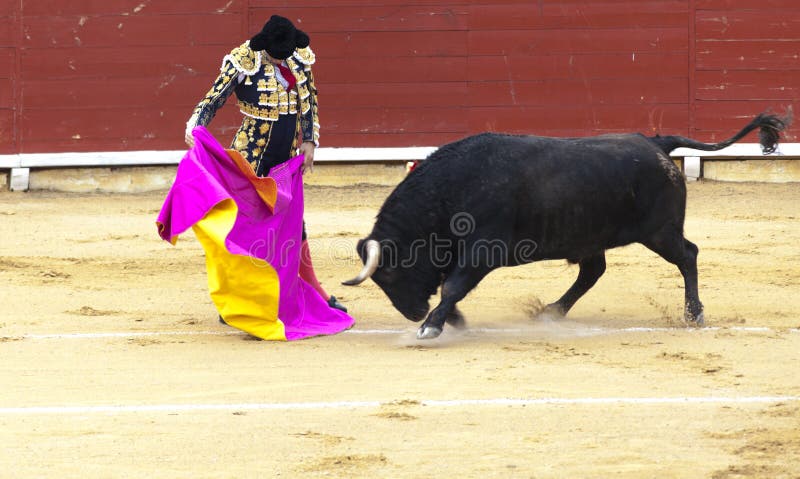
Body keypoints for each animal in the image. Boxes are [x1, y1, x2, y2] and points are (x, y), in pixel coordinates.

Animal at [343, 113, 789, 339]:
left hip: (660, 232)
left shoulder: (484, 249)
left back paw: (693, 315)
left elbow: (452, 285)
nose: (412, 311)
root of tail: (655, 142)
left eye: (392, 274)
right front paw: (448, 319)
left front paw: (432, 325)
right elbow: (451, 288)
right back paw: (551, 311)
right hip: (595, 236)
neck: (450, 189)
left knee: (688, 256)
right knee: (593, 272)